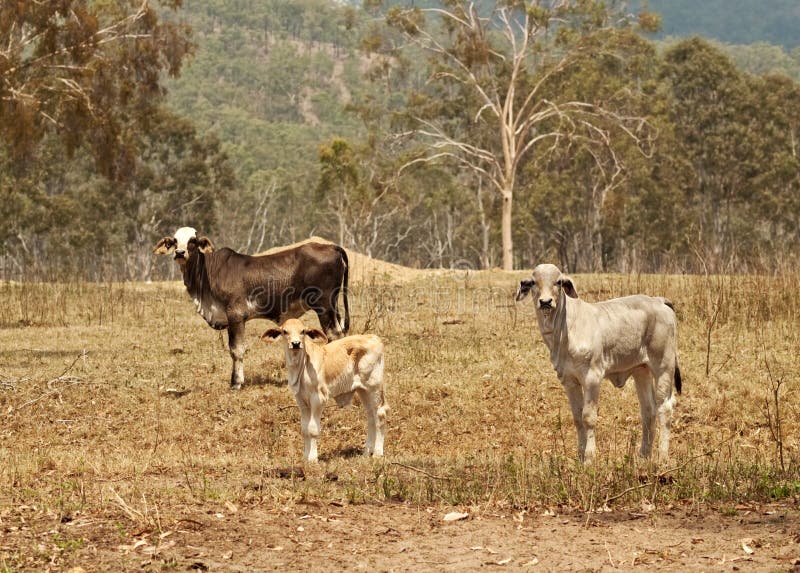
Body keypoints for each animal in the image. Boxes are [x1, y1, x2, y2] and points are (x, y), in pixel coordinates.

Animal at [154, 227, 350, 390]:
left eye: (193, 241)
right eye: (174, 241)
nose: (180, 253)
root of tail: (332, 247)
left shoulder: (235, 316)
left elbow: (236, 350)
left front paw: (236, 383)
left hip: (324, 306)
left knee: (334, 335)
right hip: (333, 306)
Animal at [262, 318, 387, 462]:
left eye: (303, 331)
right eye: (284, 331)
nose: (296, 344)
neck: (301, 367)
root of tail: (374, 338)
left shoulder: (318, 399)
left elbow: (312, 429)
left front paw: (312, 458)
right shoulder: (301, 400)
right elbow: (304, 429)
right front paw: (305, 457)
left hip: (374, 387)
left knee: (380, 415)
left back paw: (377, 452)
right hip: (363, 390)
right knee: (371, 417)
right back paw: (367, 452)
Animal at [516, 263, 681, 465]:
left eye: (559, 282)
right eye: (533, 282)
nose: (546, 302)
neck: (564, 332)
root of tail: (658, 300)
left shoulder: (592, 378)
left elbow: (588, 417)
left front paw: (588, 458)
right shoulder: (569, 380)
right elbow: (577, 418)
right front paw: (579, 456)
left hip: (664, 366)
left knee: (664, 407)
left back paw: (662, 457)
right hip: (641, 370)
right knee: (648, 410)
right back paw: (643, 455)